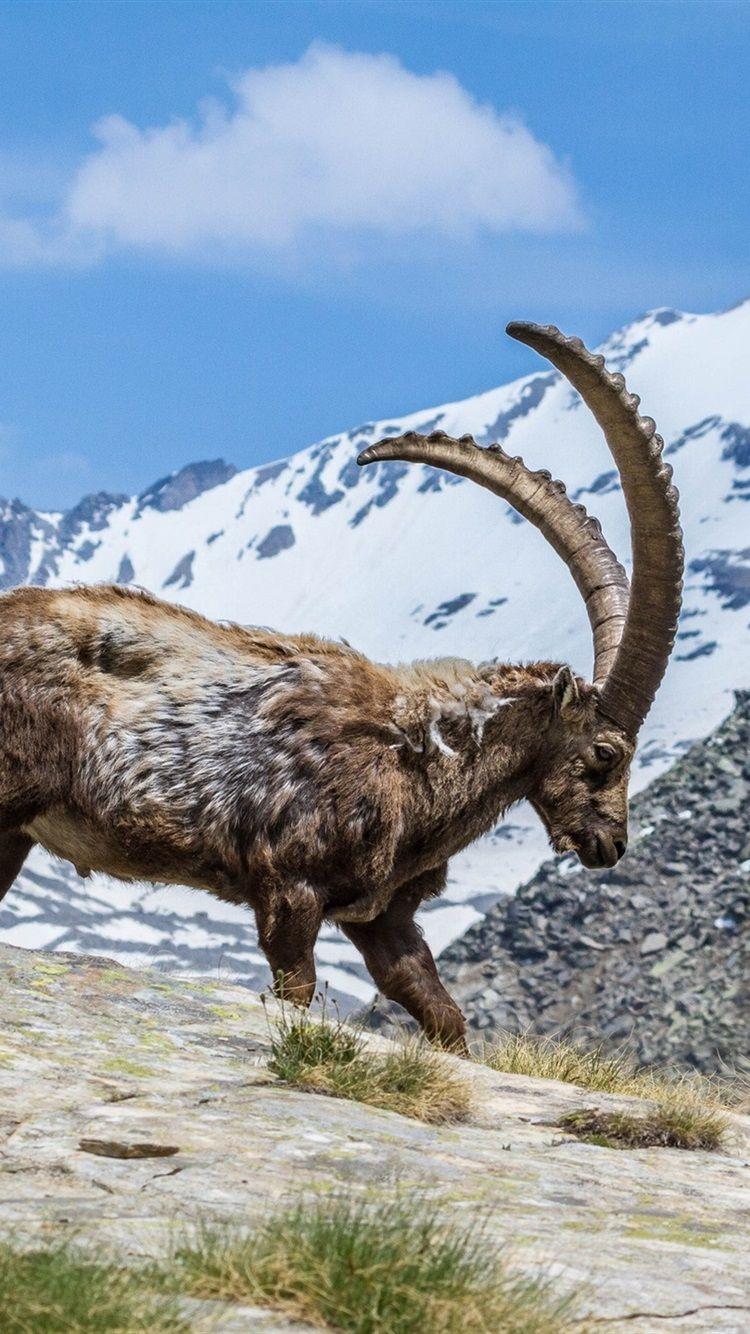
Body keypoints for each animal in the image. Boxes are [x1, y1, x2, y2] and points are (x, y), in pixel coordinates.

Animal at [0, 324, 683, 1052]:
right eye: (606, 753)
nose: (611, 845)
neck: (419, 757)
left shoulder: (381, 916)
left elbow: (440, 1013)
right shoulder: (290, 890)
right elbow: (295, 992)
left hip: (13, 831)